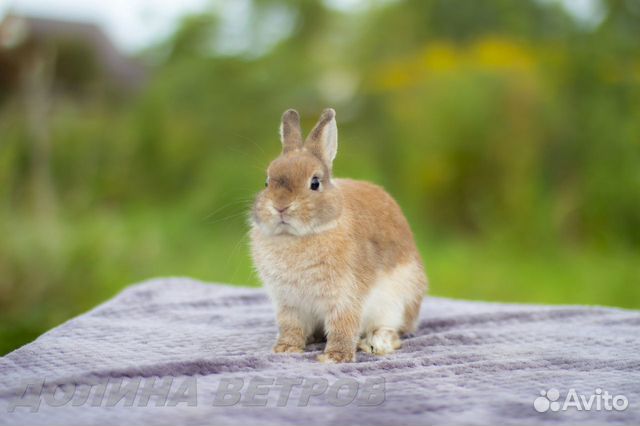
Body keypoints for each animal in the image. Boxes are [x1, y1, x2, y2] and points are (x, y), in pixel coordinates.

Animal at [250, 108, 427, 363]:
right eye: (266, 182)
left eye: (315, 183)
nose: (280, 206)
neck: (297, 237)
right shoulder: (288, 302)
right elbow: (291, 326)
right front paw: (285, 349)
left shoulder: (346, 297)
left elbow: (343, 326)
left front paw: (335, 357)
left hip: (399, 301)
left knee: (394, 330)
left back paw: (376, 343)